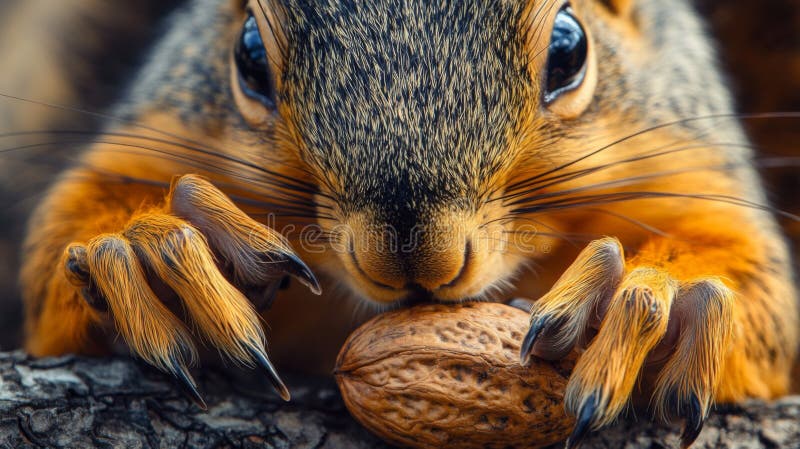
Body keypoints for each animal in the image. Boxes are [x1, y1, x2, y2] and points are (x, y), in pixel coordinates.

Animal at [9, 0, 798, 447]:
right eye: (249, 55)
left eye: (570, 49)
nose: (415, 255)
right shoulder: (160, 130)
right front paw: (145, 254)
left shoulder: (690, 164)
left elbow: (764, 306)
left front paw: (656, 296)